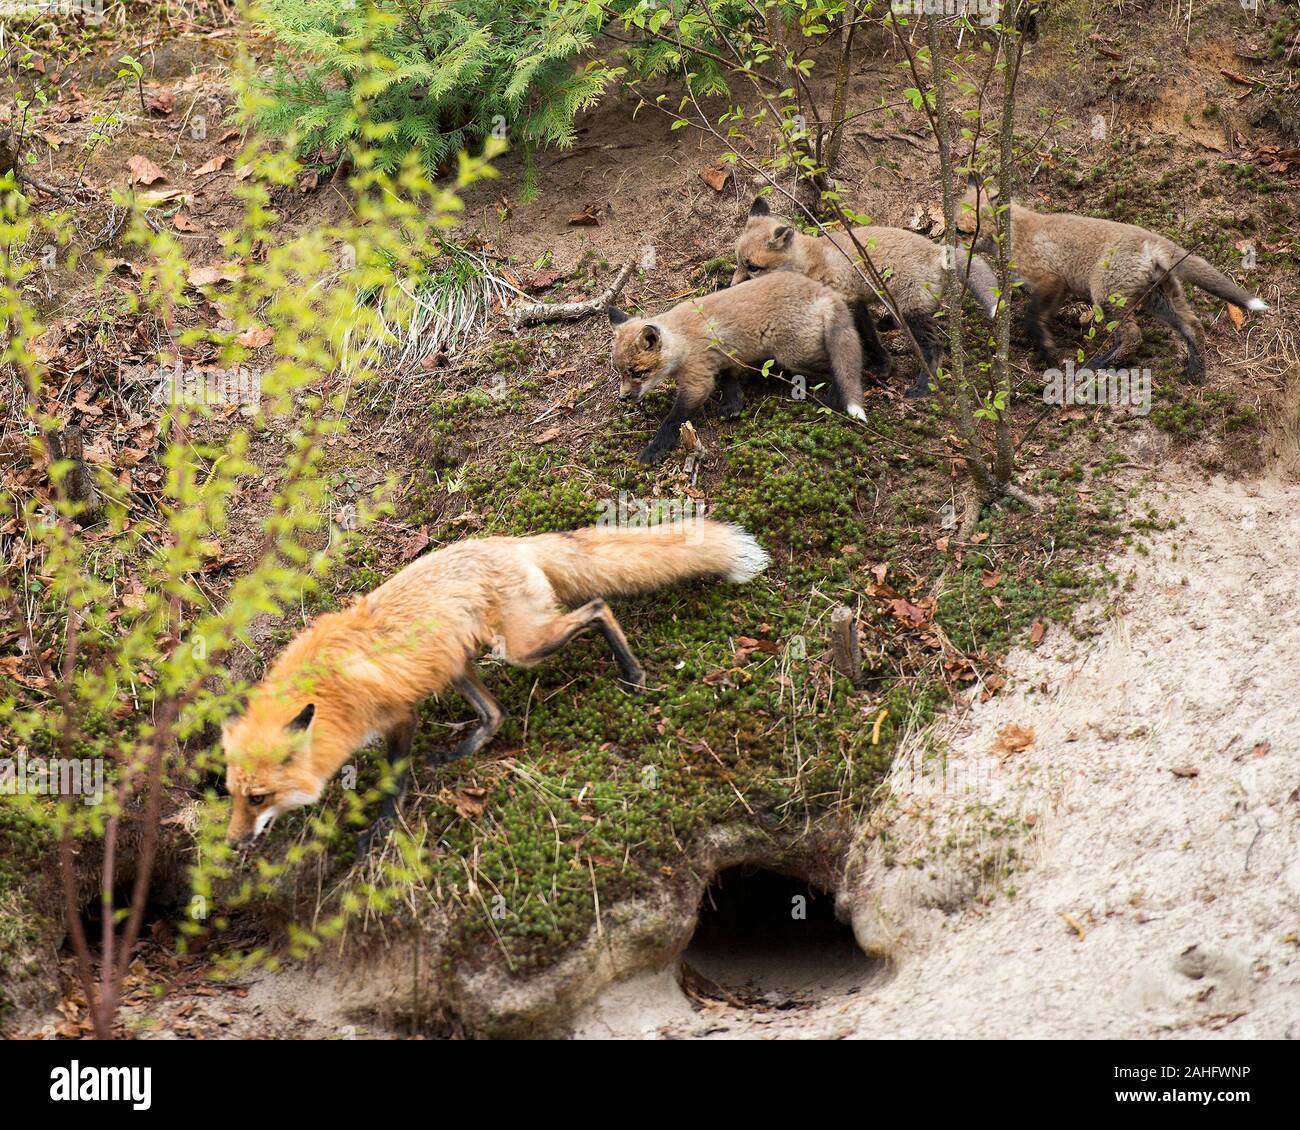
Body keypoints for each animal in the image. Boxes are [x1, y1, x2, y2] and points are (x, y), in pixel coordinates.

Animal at [222, 520, 769, 850]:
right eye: (233, 795)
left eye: (259, 798)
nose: (231, 842)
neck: (328, 691)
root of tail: (507, 541)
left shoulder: (397, 715)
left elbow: (394, 779)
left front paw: (381, 829)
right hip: (459, 663)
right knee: (495, 714)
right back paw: (459, 753)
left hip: (522, 647)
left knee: (598, 608)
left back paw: (632, 672)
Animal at [608, 271, 867, 464]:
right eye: (620, 372)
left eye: (638, 373)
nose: (623, 398)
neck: (681, 340)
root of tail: (824, 291)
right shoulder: (726, 355)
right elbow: (729, 380)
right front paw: (732, 404)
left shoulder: (697, 381)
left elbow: (673, 420)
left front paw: (653, 450)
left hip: (794, 357)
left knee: (841, 368)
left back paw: (831, 402)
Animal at [732, 195, 1001, 396]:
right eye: (738, 261)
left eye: (753, 267)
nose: (731, 286)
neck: (810, 264)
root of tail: (937, 251)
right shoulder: (857, 302)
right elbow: (870, 337)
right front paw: (883, 366)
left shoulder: (848, 301)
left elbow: (868, 338)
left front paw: (882, 366)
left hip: (909, 313)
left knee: (934, 346)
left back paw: (925, 388)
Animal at [957, 174, 1269, 380]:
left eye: (963, 231)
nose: (952, 249)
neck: (1016, 234)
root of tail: (1152, 239)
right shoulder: (1060, 289)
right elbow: (1042, 316)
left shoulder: (1050, 280)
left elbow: (1033, 318)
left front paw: (1047, 350)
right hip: (1160, 299)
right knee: (1193, 328)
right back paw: (1194, 374)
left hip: (1105, 295)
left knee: (1133, 336)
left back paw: (1098, 366)